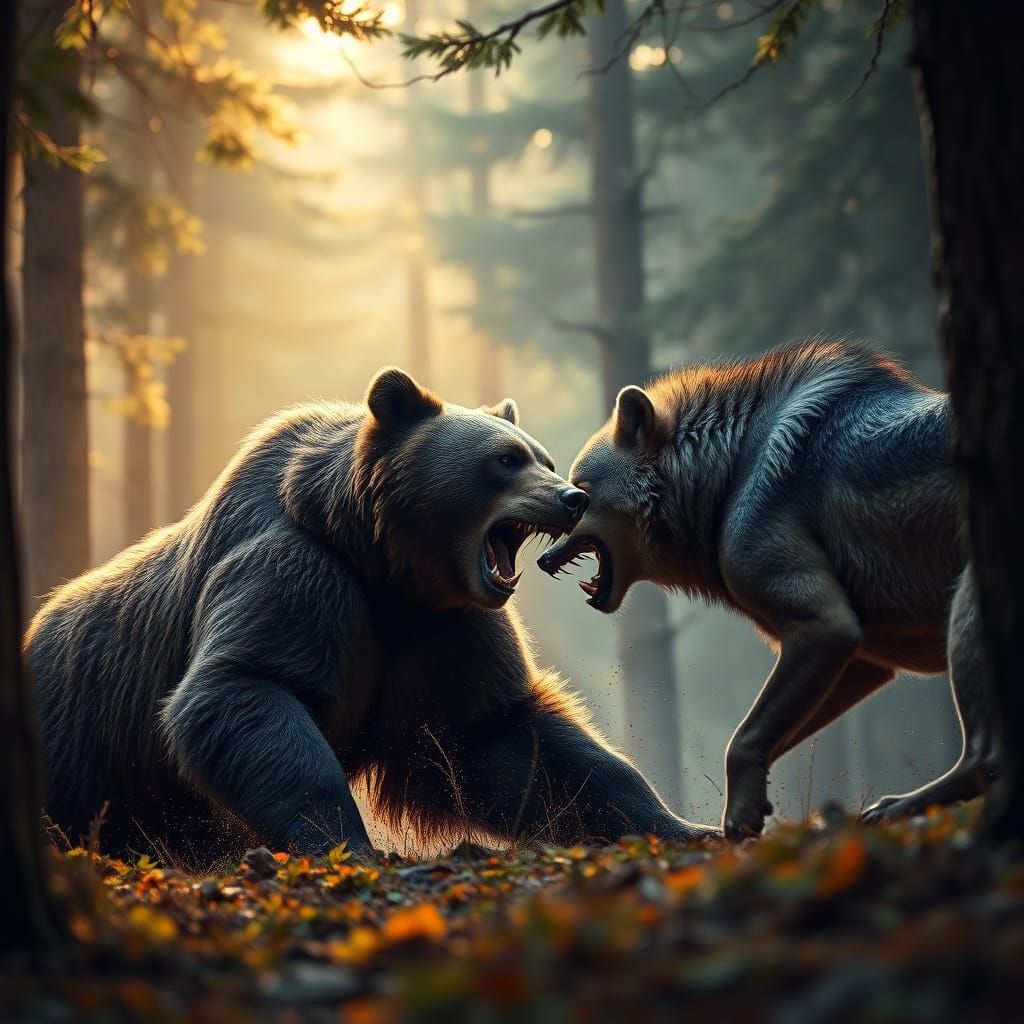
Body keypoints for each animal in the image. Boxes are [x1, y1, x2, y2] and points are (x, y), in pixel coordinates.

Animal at [26, 367, 713, 861]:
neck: (384, 567)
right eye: (506, 459)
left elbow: (513, 741)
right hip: (81, 738)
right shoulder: (296, 575)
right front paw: (346, 841)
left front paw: (680, 822)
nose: (572, 498)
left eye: (542, 456)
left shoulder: (444, 631)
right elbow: (246, 686)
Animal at [539, 340, 995, 839]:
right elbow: (763, 739)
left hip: (963, 624)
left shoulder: (825, 626)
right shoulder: (861, 659)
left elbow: (740, 740)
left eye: (580, 493)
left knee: (983, 756)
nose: (539, 559)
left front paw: (738, 825)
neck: (730, 476)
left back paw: (898, 807)